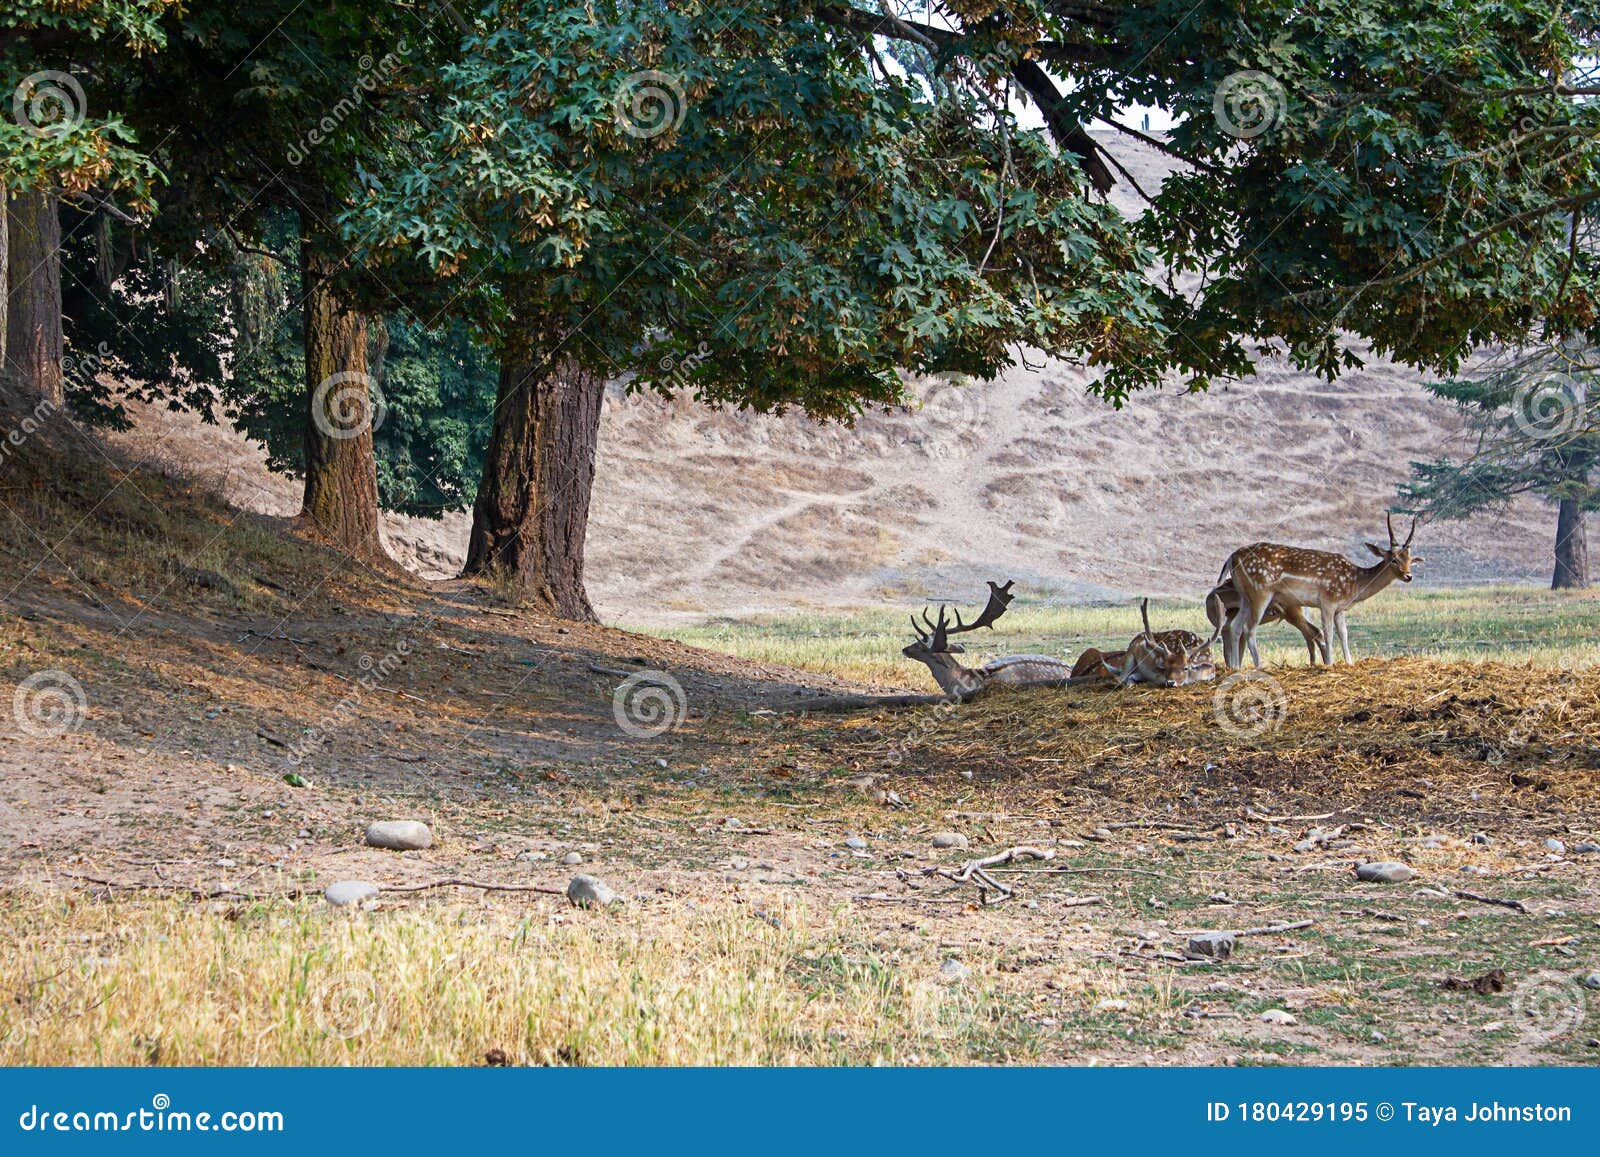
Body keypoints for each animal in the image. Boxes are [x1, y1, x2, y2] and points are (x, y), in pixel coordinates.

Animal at [1221, 513, 1422, 667]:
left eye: (1410, 559)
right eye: (1393, 559)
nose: (1408, 576)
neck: (1354, 584)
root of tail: (1231, 557)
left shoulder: (1340, 609)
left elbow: (1344, 634)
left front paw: (1349, 663)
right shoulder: (1327, 601)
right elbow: (1329, 633)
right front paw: (1330, 664)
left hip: (1245, 596)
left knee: (1234, 626)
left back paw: (1236, 667)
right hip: (1260, 592)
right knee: (1249, 628)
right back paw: (1258, 665)